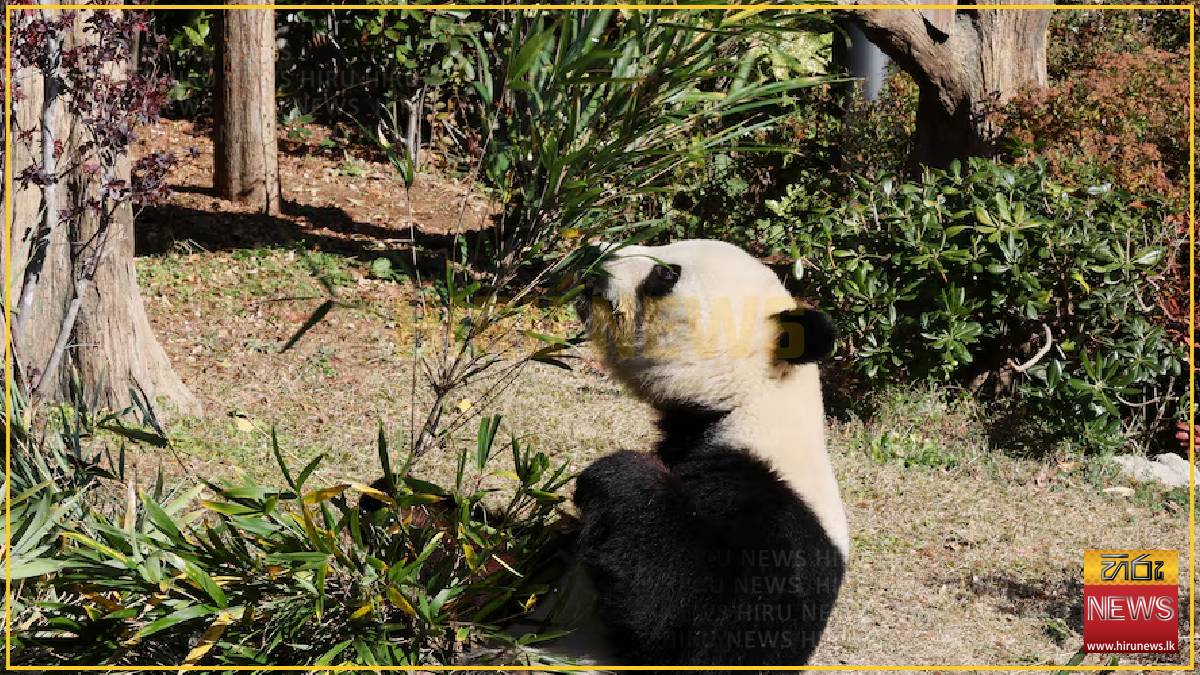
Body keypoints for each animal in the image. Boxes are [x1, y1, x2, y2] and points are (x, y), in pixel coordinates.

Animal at [564, 238, 848, 668]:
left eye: (665, 273)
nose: (594, 254)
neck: (750, 399)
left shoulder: (776, 517)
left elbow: (716, 629)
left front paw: (622, 475)